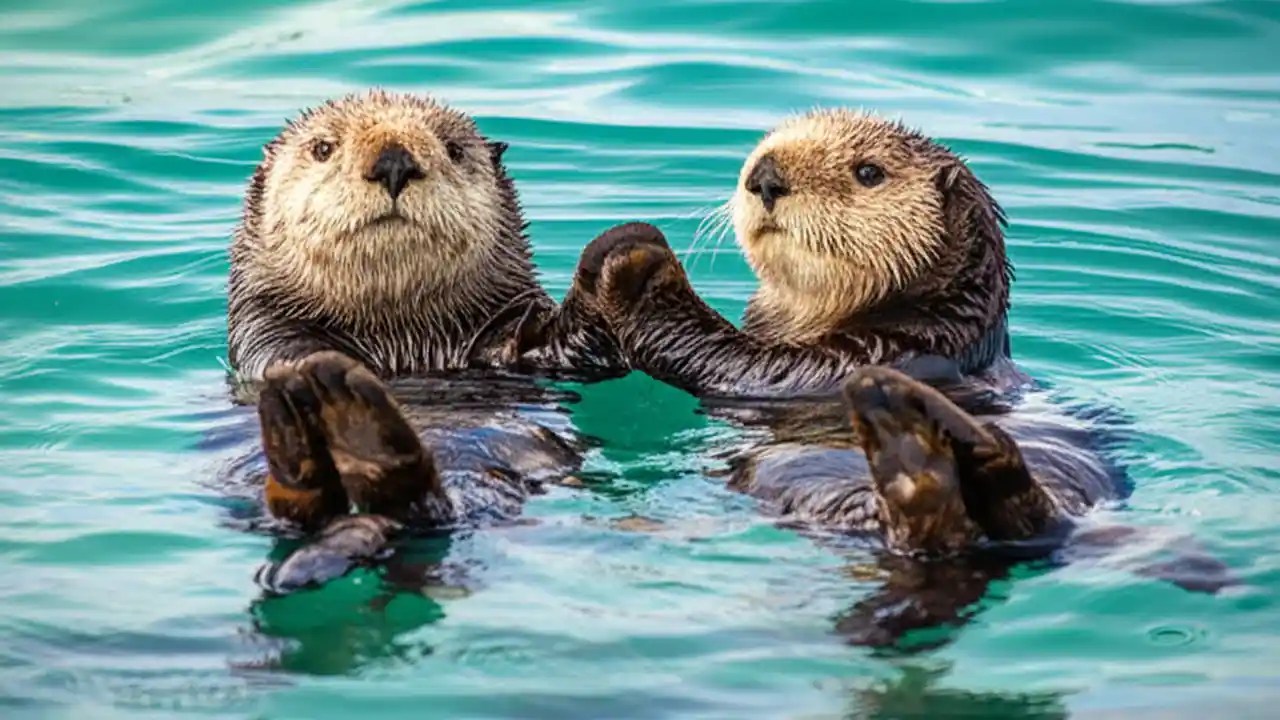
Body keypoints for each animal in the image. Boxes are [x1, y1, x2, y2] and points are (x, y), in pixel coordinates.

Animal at [225, 90, 622, 591]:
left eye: (453, 149)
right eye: (323, 148)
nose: (394, 162)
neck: (406, 345)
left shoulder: (505, 330)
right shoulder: (268, 332)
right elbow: (287, 354)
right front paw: (308, 378)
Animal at [570, 110, 1231, 645]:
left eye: (868, 172)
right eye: (763, 146)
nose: (765, 176)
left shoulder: (870, 356)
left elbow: (732, 363)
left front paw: (635, 259)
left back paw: (927, 439)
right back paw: (919, 449)